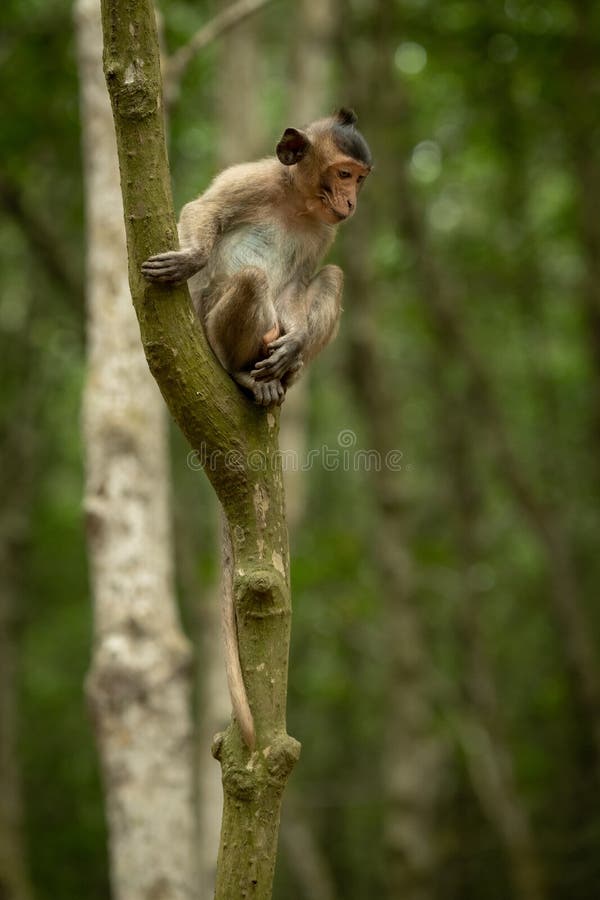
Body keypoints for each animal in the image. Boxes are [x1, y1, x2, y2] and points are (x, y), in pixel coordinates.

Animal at [142, 108, 371, 748]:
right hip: (211, 330)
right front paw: (193, 257)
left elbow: (311, 273)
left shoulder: (323, 233)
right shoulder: (250, 179)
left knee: (327, 279)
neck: (297, 201)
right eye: (343, 173)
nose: (351, 201)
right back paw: (244, 374)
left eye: (358, 178)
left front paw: (292, 349)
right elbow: (204, 210)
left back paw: (279, 374)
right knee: (247, 281)